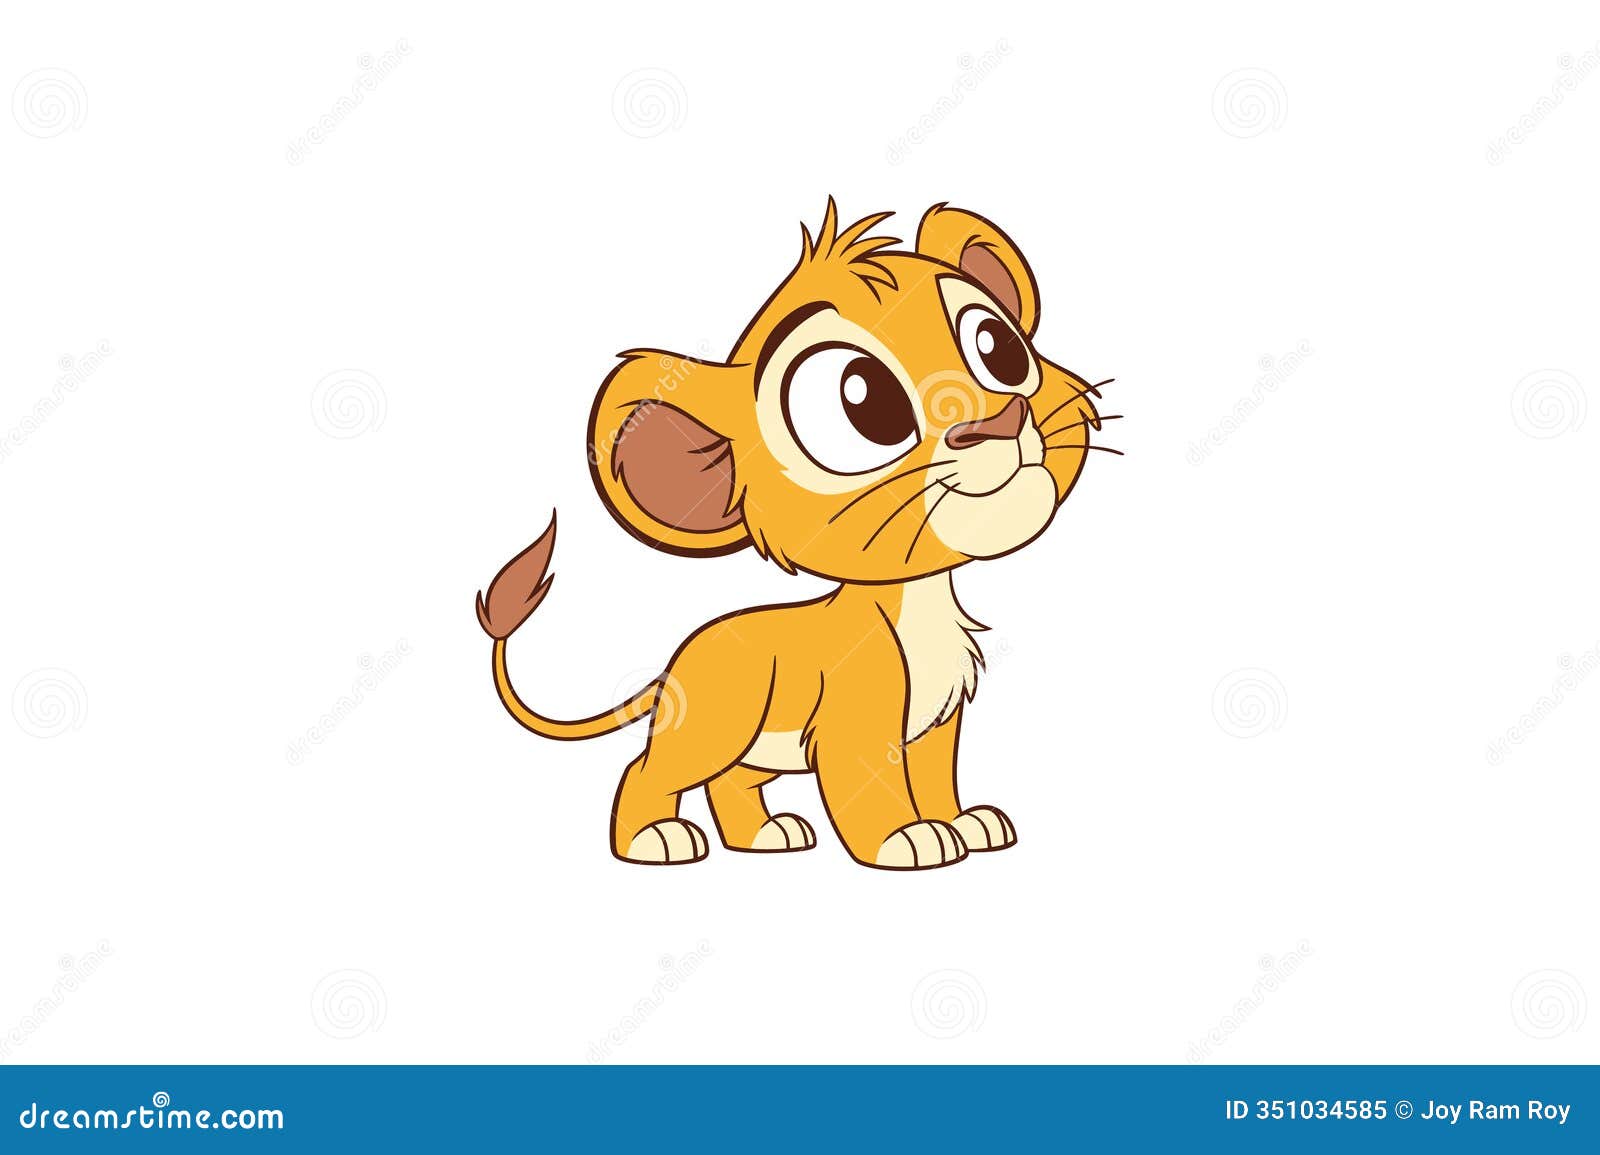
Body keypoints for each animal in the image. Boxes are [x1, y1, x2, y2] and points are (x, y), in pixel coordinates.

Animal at [476, 200, 1115, 869]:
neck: (920, 602)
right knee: (645, 769)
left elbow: (938, 779)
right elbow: (875, 793)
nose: (999, 420)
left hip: (753, 752)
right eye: (864, 403)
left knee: (731, 784)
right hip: (711, 729)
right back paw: (655, 840)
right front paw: (908, 839)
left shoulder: (936, 726)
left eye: (996, 347)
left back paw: (764, 835)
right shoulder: (857, 726)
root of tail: (681, 656)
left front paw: (963, 823)